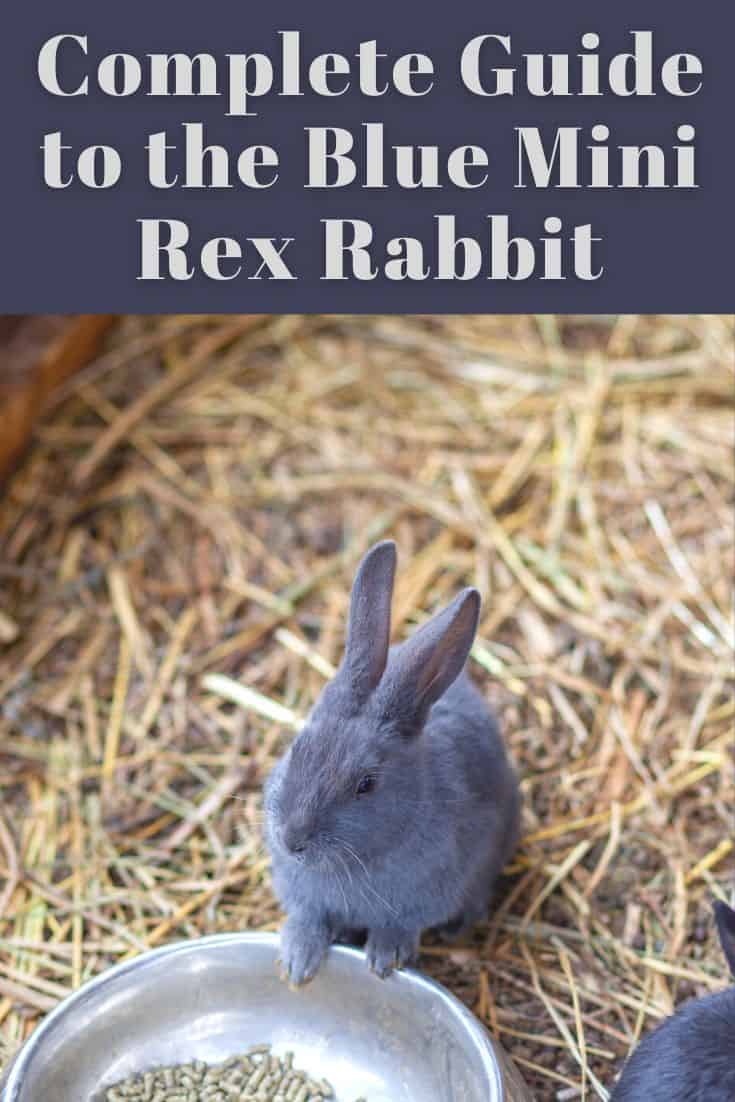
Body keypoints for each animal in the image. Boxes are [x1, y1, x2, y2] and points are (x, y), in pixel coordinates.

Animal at [264, 539, 521, 986]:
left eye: (366, 784)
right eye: (298, 747)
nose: (291, 840)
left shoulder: (425, 896)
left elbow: (400, 924)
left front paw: (385, 958)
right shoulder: (304, 897)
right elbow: (308, 918)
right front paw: (297, 962)